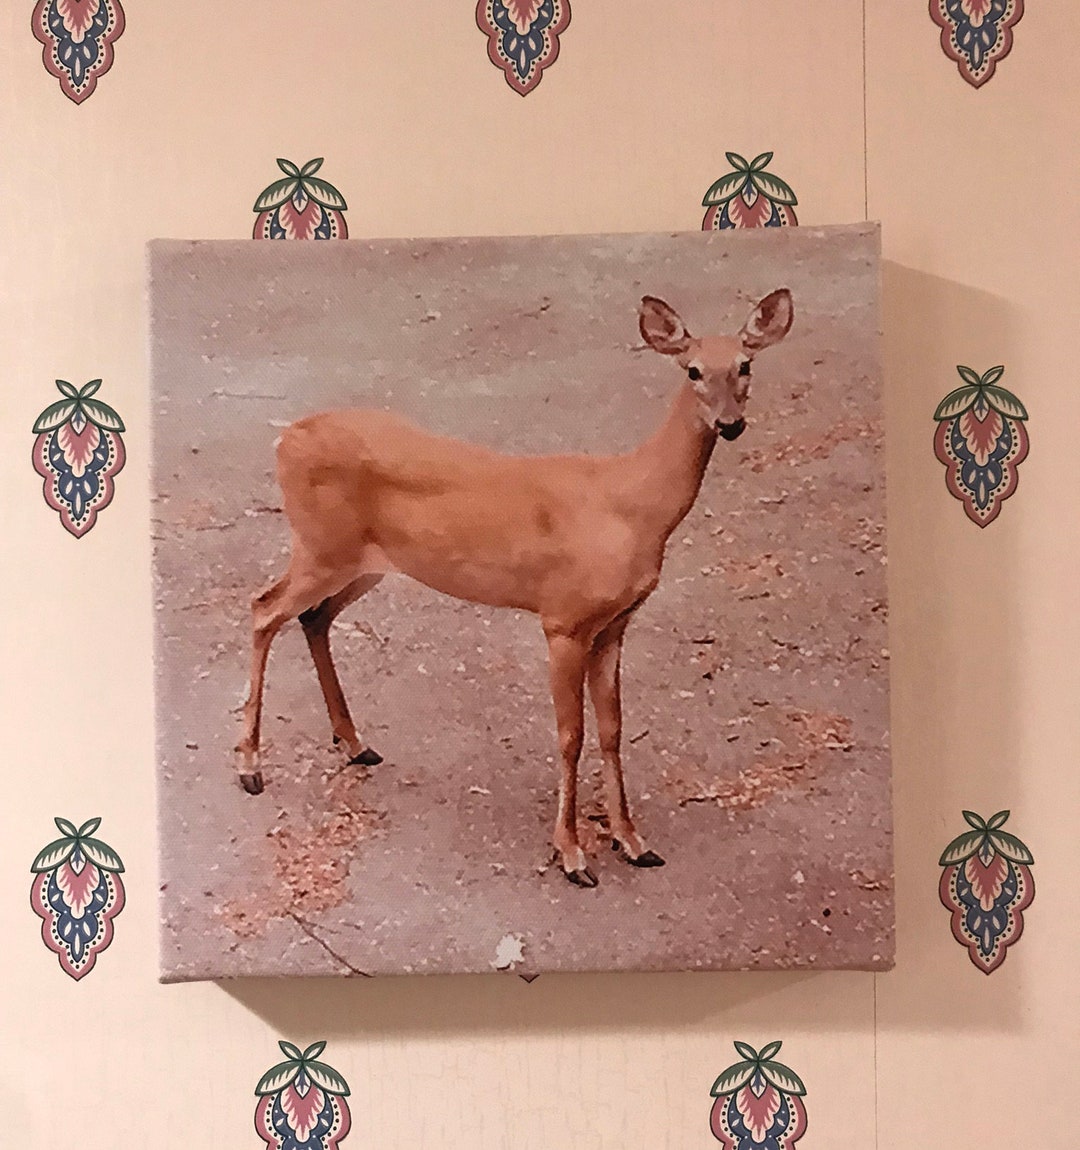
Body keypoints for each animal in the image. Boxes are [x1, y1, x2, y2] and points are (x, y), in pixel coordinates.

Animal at [235, 287, 794, 887]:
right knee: (264, 608)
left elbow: (613, 730)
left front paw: (632, 841)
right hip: (321, 547)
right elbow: (570, 736)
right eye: (692, 370)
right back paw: (250, 768)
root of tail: (285, 437)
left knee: (313, 616)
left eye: (745, 364)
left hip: (363, 562)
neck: (634, 508)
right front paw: (572, 855)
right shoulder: (563, 620)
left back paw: (355, 744)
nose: (731, 424)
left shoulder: (615, 624)